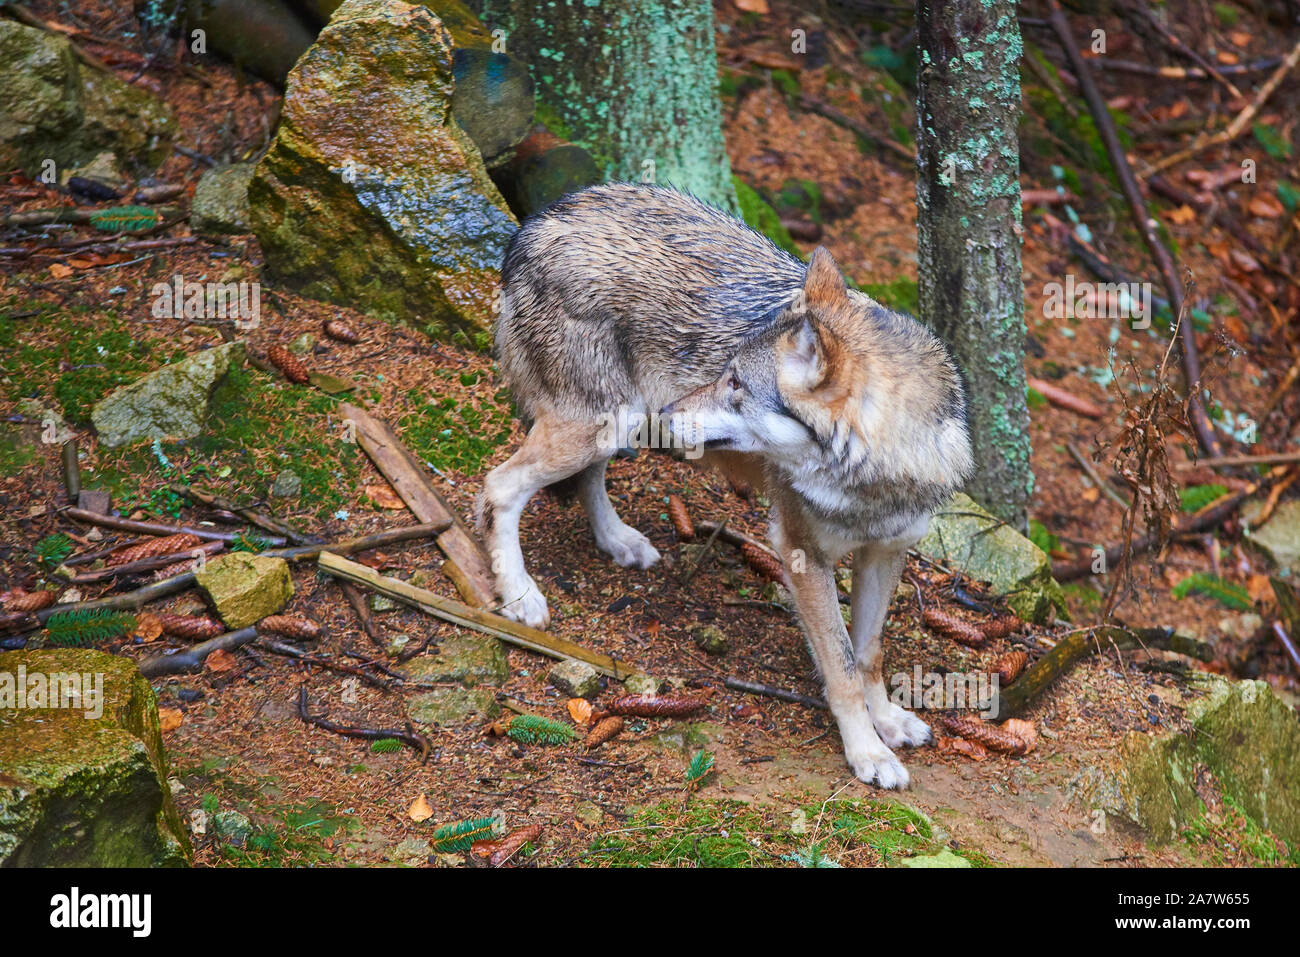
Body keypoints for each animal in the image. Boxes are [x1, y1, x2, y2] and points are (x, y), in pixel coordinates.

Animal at [478, 183, 973, 787]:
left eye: (735, 384)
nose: (670, 411)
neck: (877, 479)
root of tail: (532, 224)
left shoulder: (887, 551)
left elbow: (869, 654)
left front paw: (889, 723)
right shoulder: (802, 554)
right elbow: (841, 667)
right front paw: (868, 753)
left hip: (613, 427)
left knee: (585, 479)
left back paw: (618, 542)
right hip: (598, 426)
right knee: (498, 487)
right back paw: (520, 595)